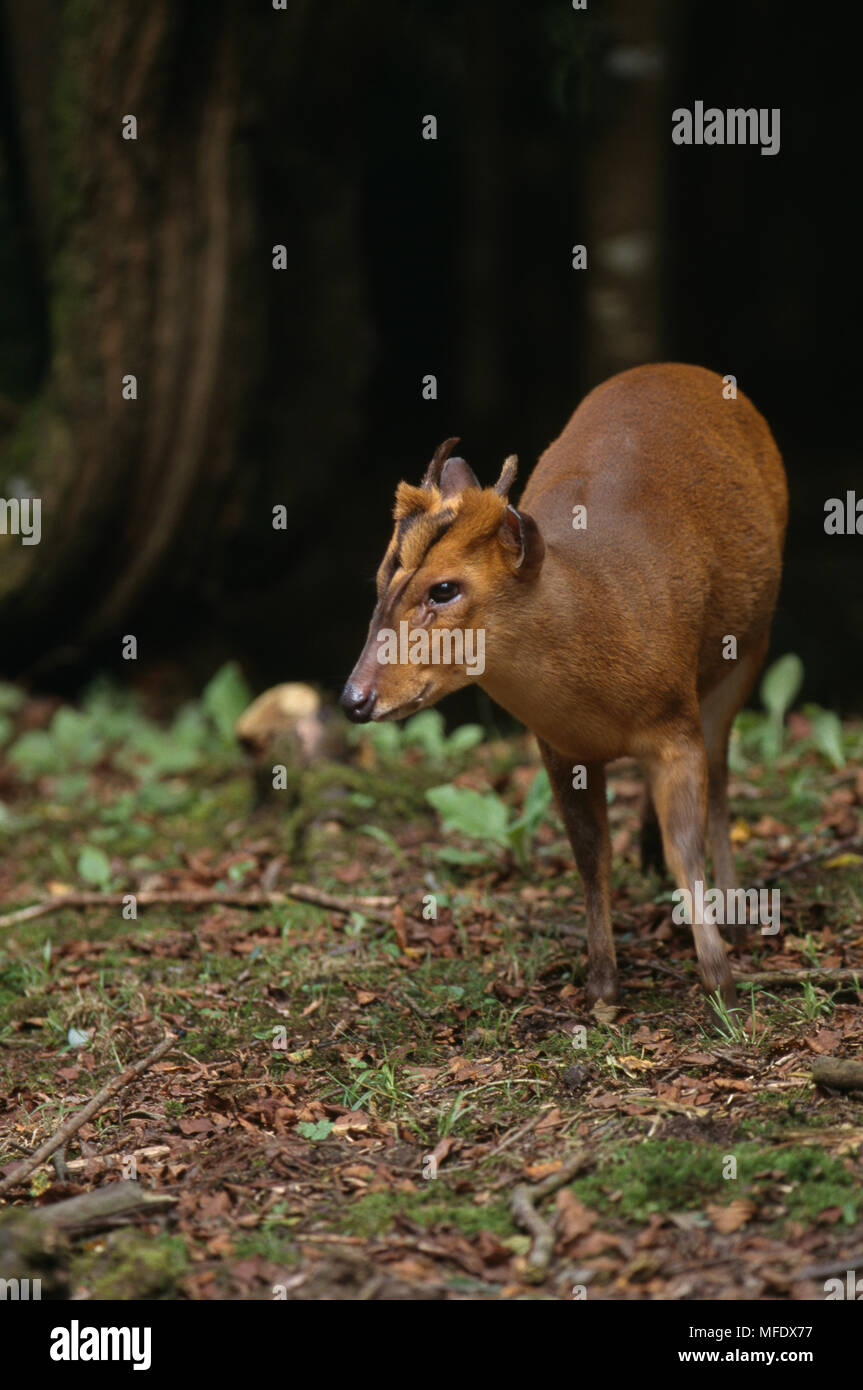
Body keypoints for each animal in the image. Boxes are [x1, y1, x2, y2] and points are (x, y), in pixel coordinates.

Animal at [340, 363, 788, 1013]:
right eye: (381, 577)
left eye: (444, 588)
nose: (354, 699)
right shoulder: (557, 746)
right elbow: (590, 852)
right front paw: (602, 985)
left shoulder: (676, 723)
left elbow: (685, 842)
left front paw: (720, 979)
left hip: (749, 646)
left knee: (724, 768)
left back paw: (734, 913)